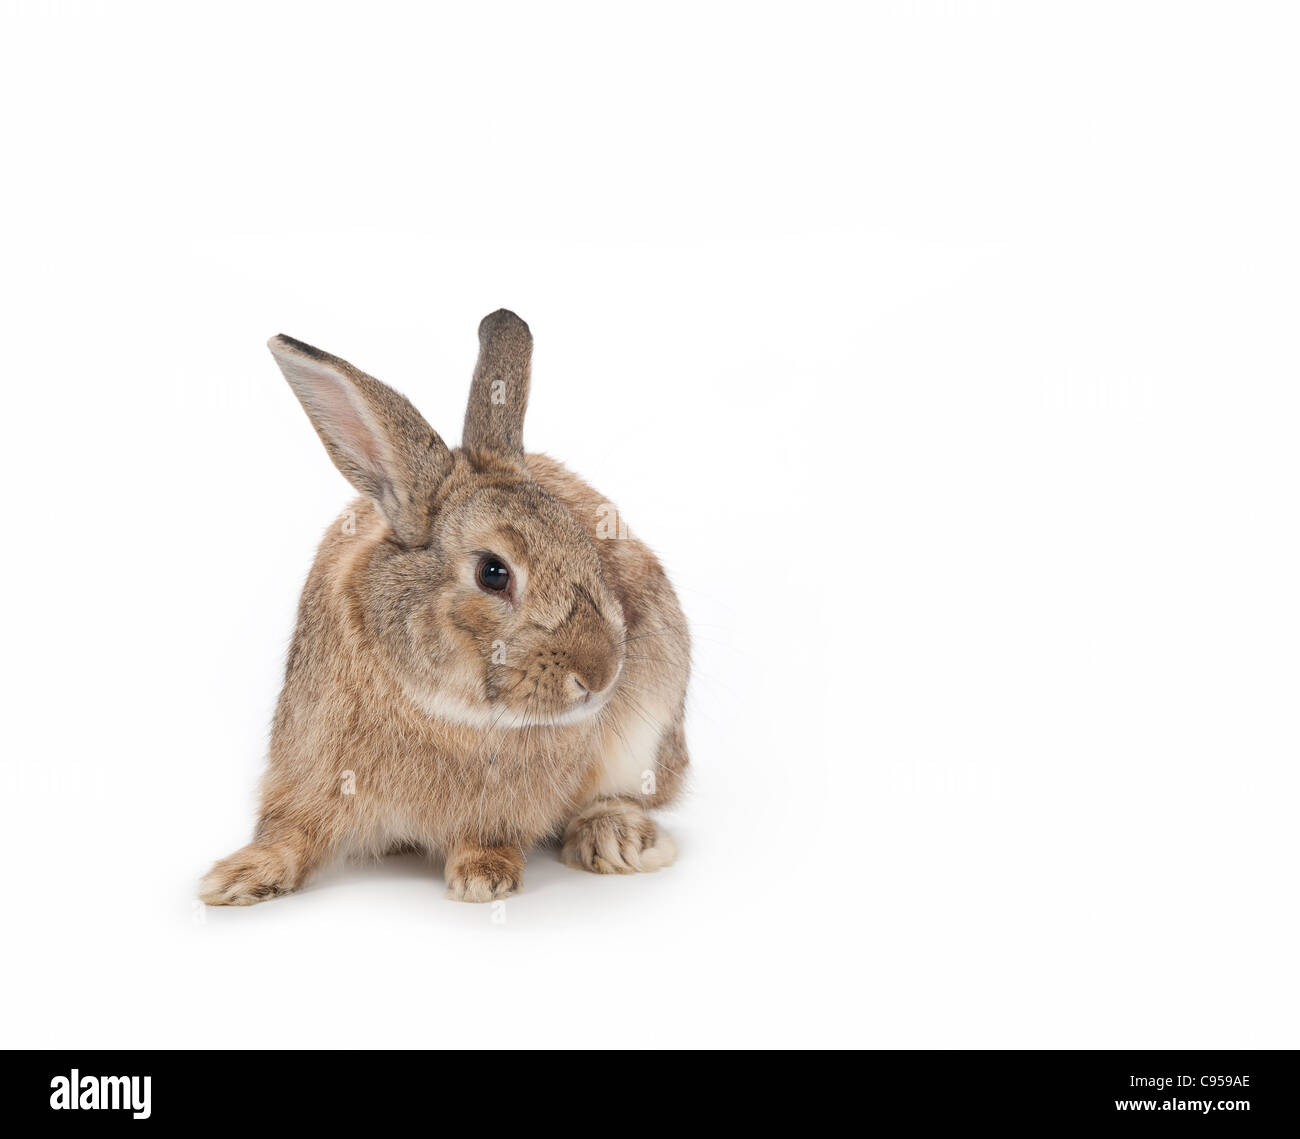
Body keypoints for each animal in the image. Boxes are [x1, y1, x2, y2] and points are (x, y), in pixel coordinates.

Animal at [199, 310, 690, 905]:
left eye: (586, 544)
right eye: (493, 573)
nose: (600, 674)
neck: (444, 708)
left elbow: (489, 833)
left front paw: (483, 879)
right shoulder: (308, 770)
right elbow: (291, 832)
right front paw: (236, 879)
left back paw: (614, 839)